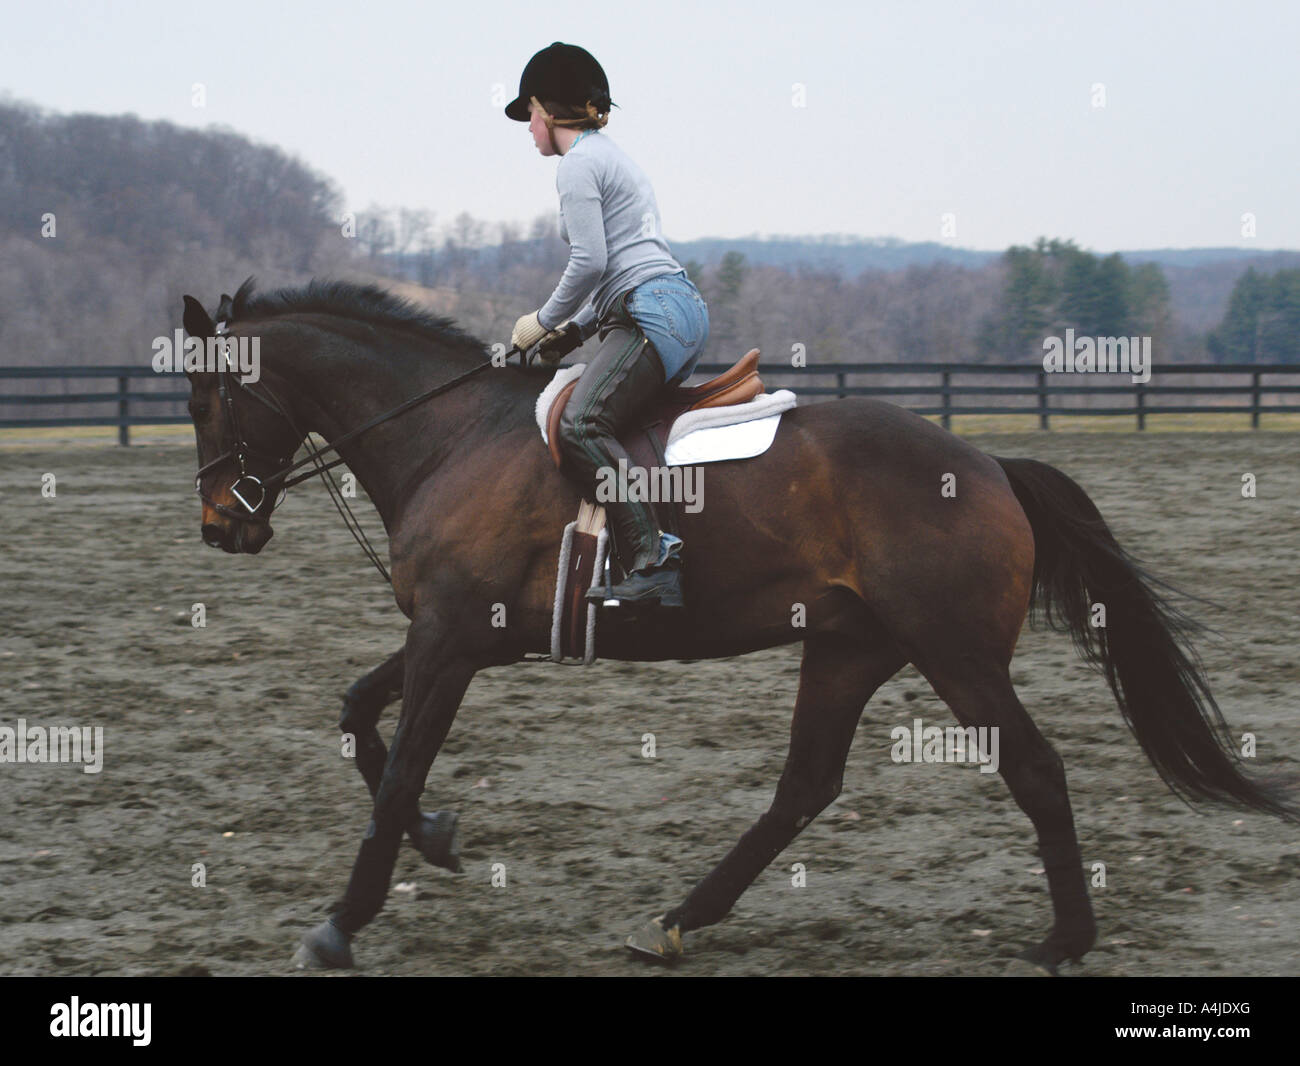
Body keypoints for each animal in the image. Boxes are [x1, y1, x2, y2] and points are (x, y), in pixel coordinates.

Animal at [181, 277, 1297, 973]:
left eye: (203, 395)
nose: (221, 526)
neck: (451, 433)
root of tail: (985, 463)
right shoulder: (454, 635)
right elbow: (359, 715)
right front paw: (440, 837)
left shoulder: (453, 639)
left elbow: (393, 765)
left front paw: (340, 924)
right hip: (848, 647)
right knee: (804, 786)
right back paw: (676, 921)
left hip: (952, 652)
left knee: (1033, 767)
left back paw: (1065, 938)